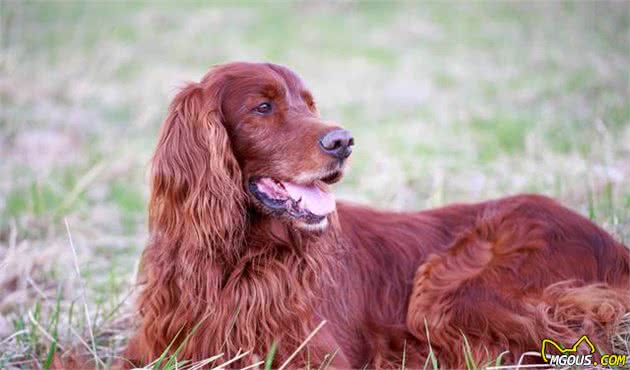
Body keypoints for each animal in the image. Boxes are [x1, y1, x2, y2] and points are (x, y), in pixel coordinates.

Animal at [124, 62, 630, 368]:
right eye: (263, 107)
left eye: (309, 104)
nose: (343, 141)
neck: (237, 260)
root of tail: (612, 244)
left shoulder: (313, 356)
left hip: (451, 289)